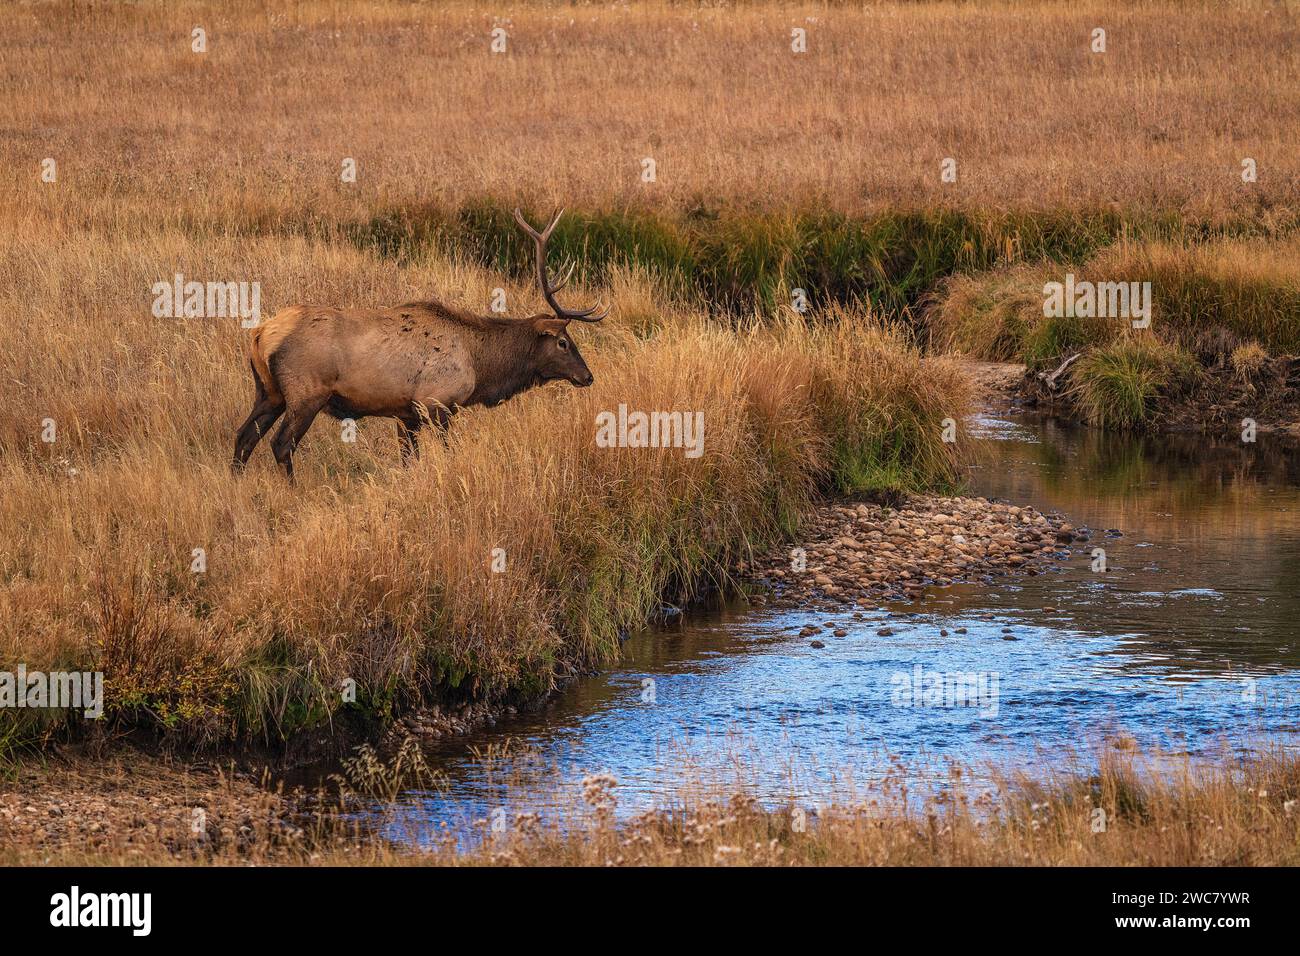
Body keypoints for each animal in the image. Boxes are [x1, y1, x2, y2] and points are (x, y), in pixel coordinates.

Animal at [232, 209, 606, 479]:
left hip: (269, 391)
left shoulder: (406, 414)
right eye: (563, 342)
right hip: (306, 393)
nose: (587, 376)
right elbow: (446, 453)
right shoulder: (439, 403)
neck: (481, 366)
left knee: (243, 436)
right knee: (281, 444)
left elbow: (409, 461)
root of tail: (260, 334)